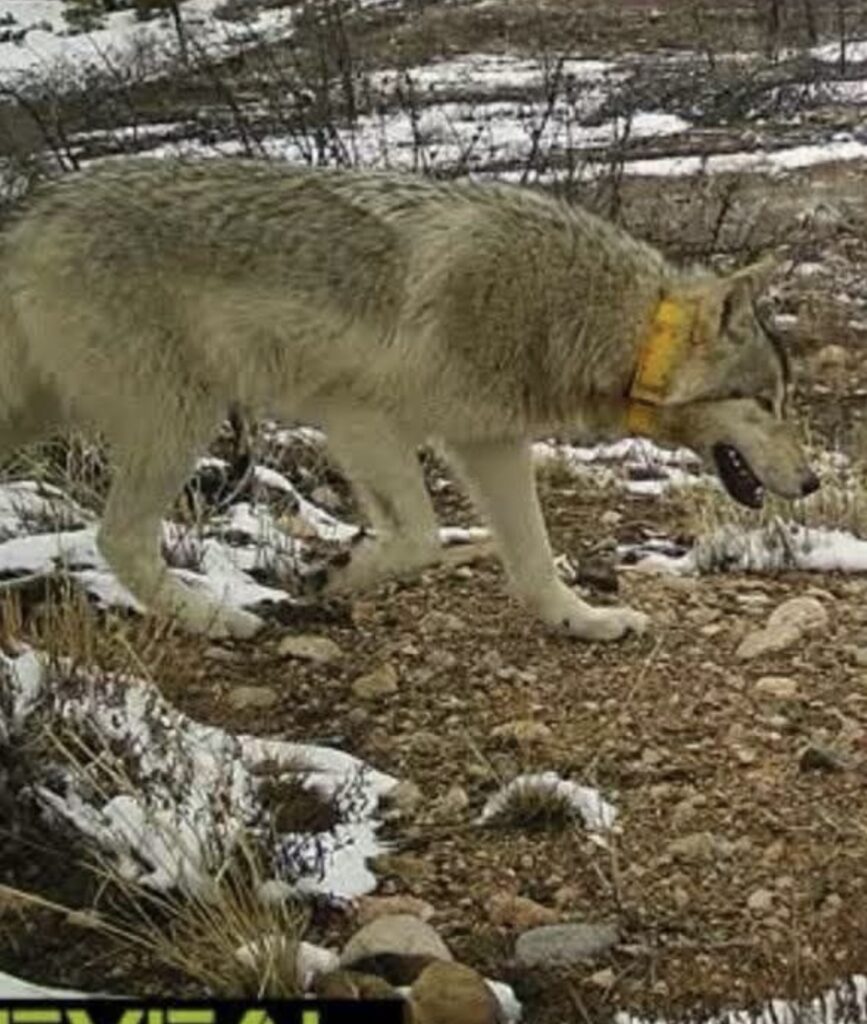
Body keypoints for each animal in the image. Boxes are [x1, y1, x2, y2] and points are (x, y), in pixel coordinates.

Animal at [0, 159, 818, 642]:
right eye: (766, 402)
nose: (811, 483)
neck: (605, 322)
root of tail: (33, 212)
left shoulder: (492, 443)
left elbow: (534, 560)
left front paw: (580, 620)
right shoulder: (359, 417)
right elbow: (421, 539)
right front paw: (331, 576)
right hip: (180, 416)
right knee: (120, 539)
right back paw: (218, 618)